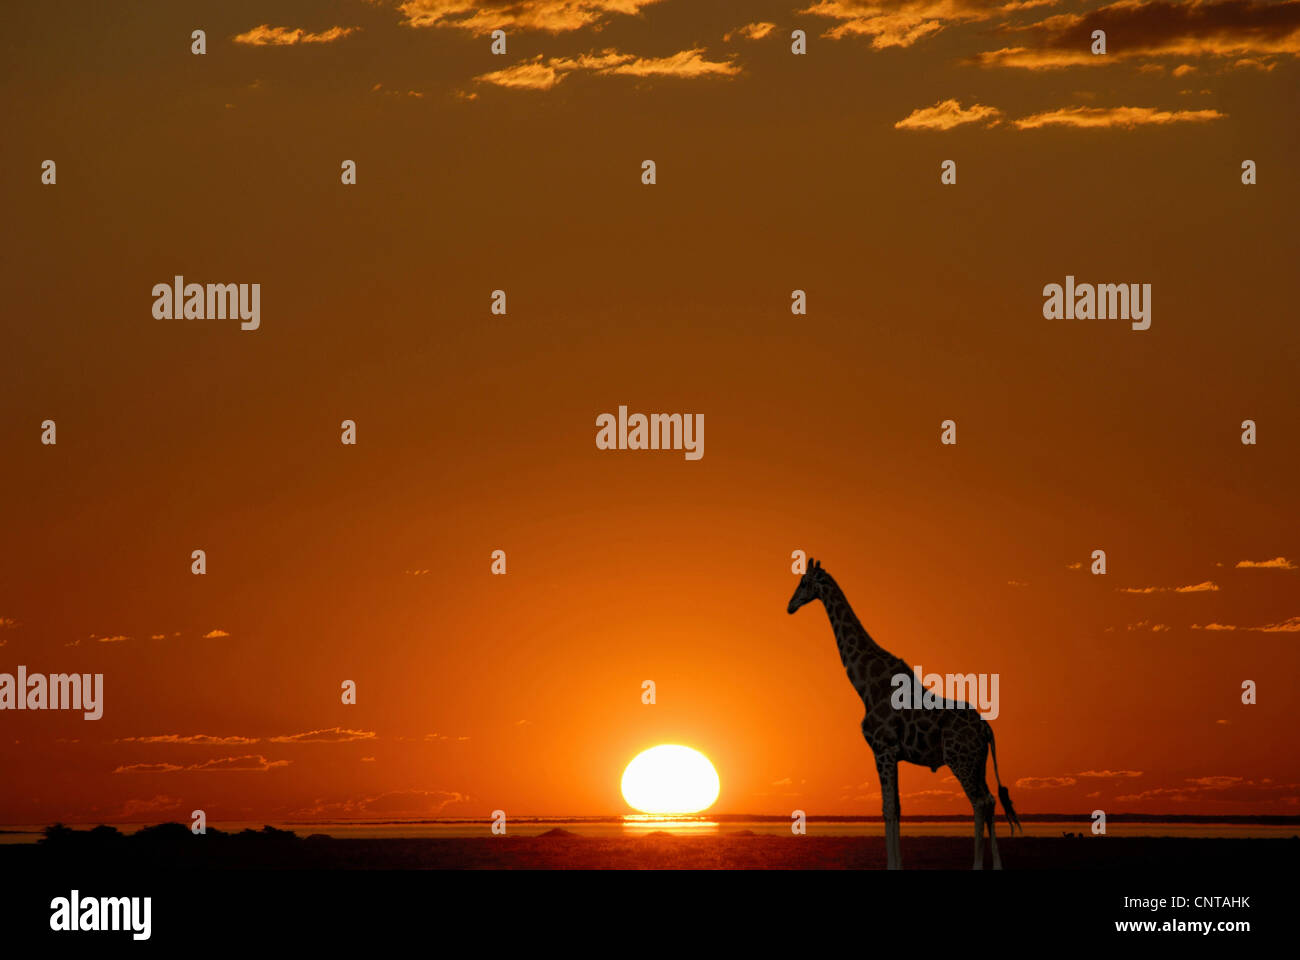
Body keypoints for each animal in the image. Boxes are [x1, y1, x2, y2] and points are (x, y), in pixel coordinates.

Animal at [787, 558, 1021, 869]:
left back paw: (976, 865)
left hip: (960, 759)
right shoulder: (892, 753)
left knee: (979, 802)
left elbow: (888, 809)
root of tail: (986, 728)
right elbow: (897, 807)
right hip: (977, 762)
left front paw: (892, 865)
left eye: (803, 582)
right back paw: (996, 865)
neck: (865, 685)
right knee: (991, 800)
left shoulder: (882, 749)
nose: (790, 605)